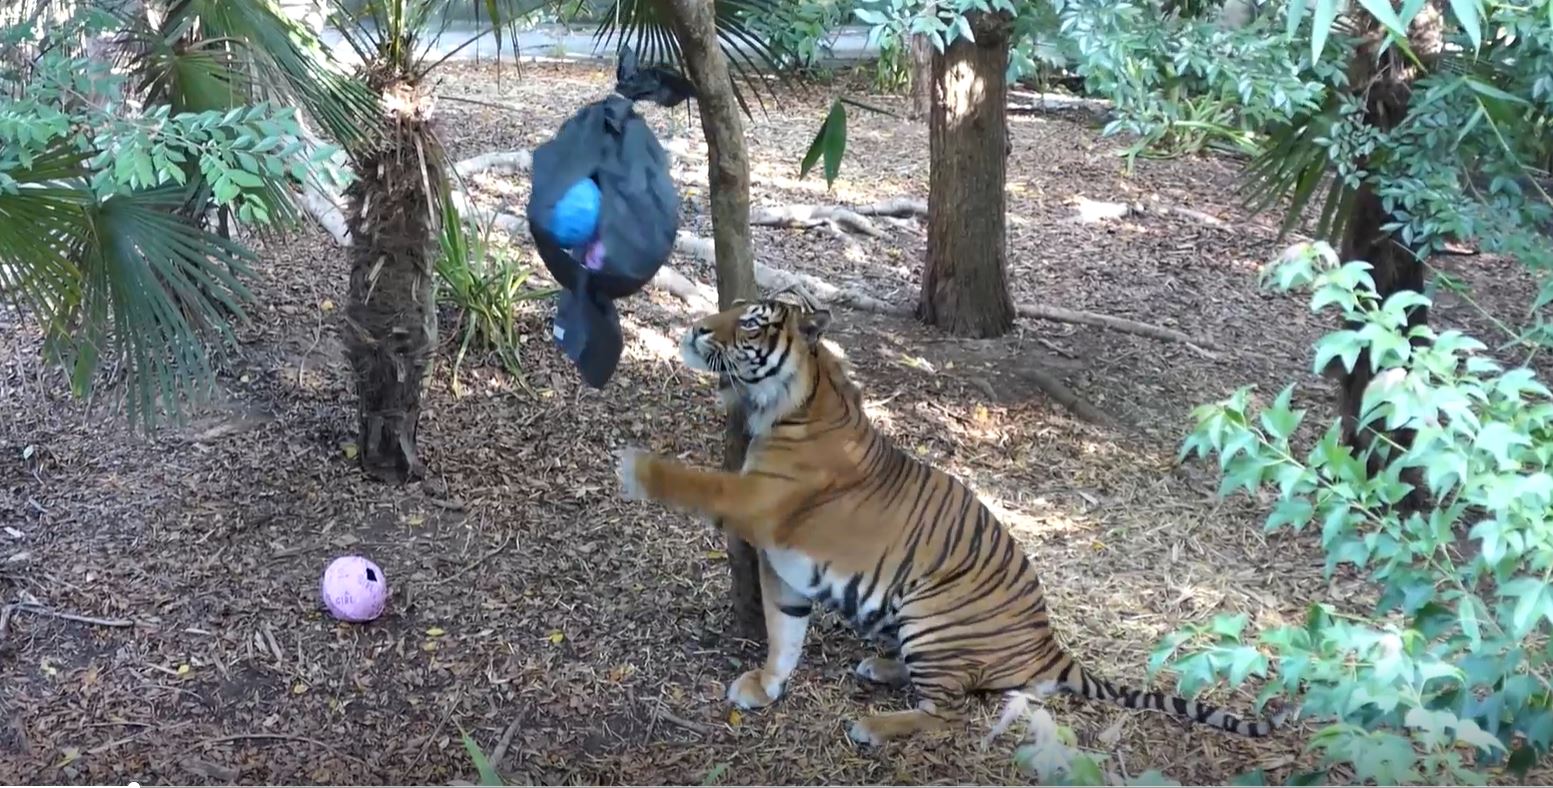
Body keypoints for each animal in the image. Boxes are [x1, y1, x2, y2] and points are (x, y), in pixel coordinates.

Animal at [614, 294, 1287, 745]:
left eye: (751, 319)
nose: (697, 327)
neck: (791, 402)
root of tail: (1049, 645)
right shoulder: (785, 569)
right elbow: (785, 635)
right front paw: (765, 687)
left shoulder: (757, 501)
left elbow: (698, 480)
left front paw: (636, 467)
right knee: (951, 688)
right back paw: (880, 667)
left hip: (932, 612)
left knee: (951, 713)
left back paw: (873, 724)